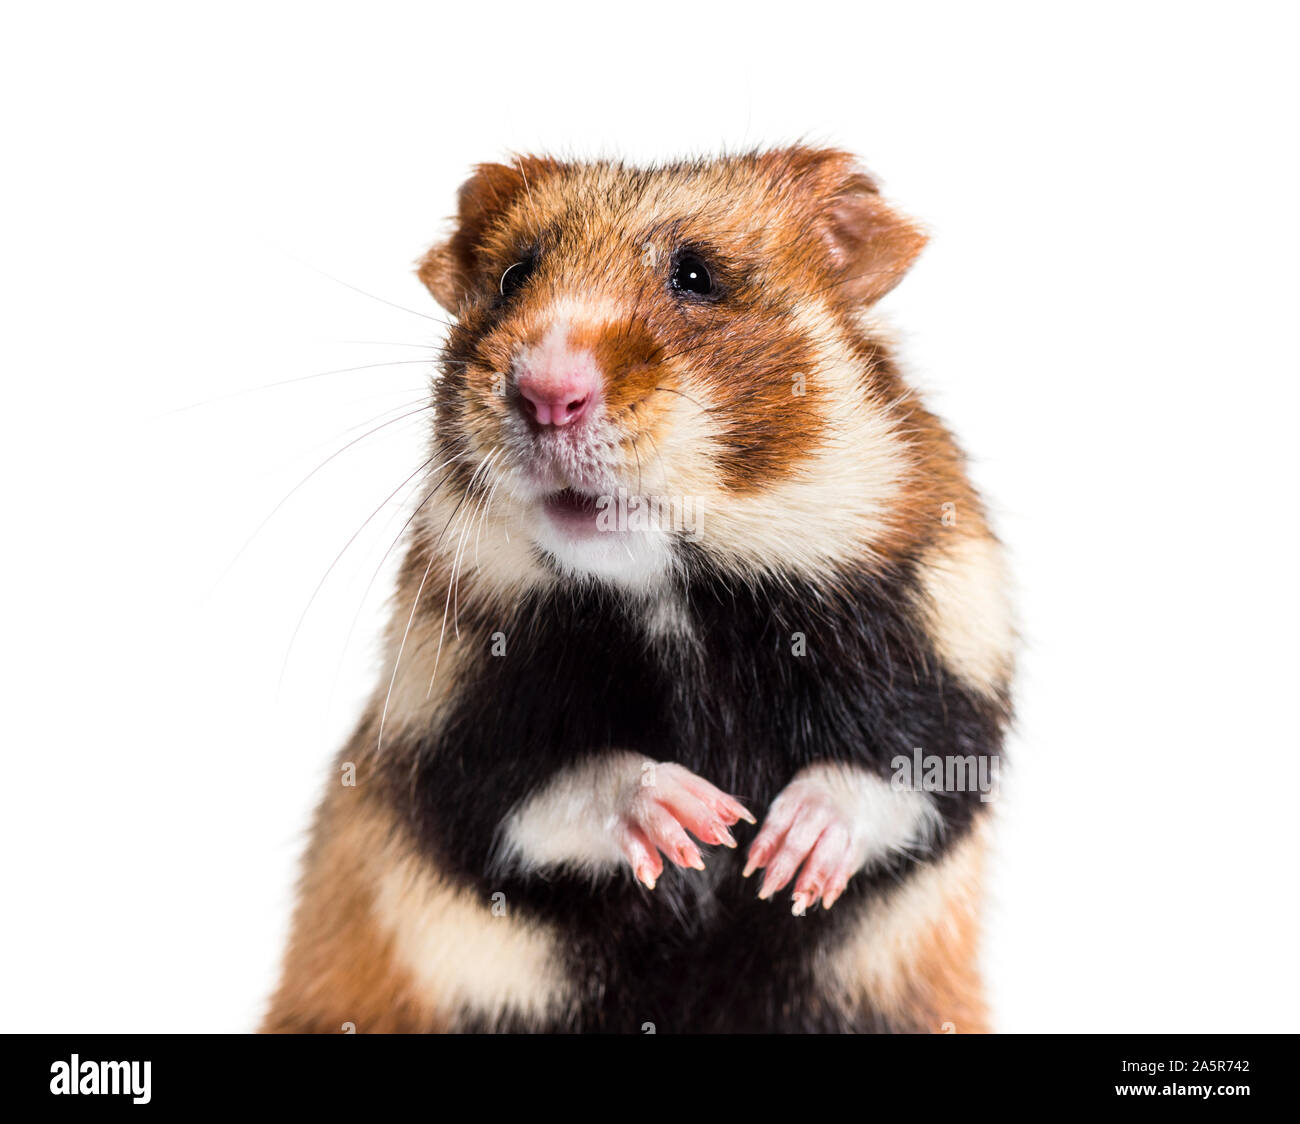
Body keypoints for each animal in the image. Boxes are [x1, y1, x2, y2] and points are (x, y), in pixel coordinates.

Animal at [262, 147, 1015, 1034]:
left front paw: (779, 855)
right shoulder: (436, 718)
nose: (548, 392)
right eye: (513, 277)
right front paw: (695, 820)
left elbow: (910, 771)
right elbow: (534, 790)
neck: (670, 593)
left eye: (697, 276)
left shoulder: (950, 647)